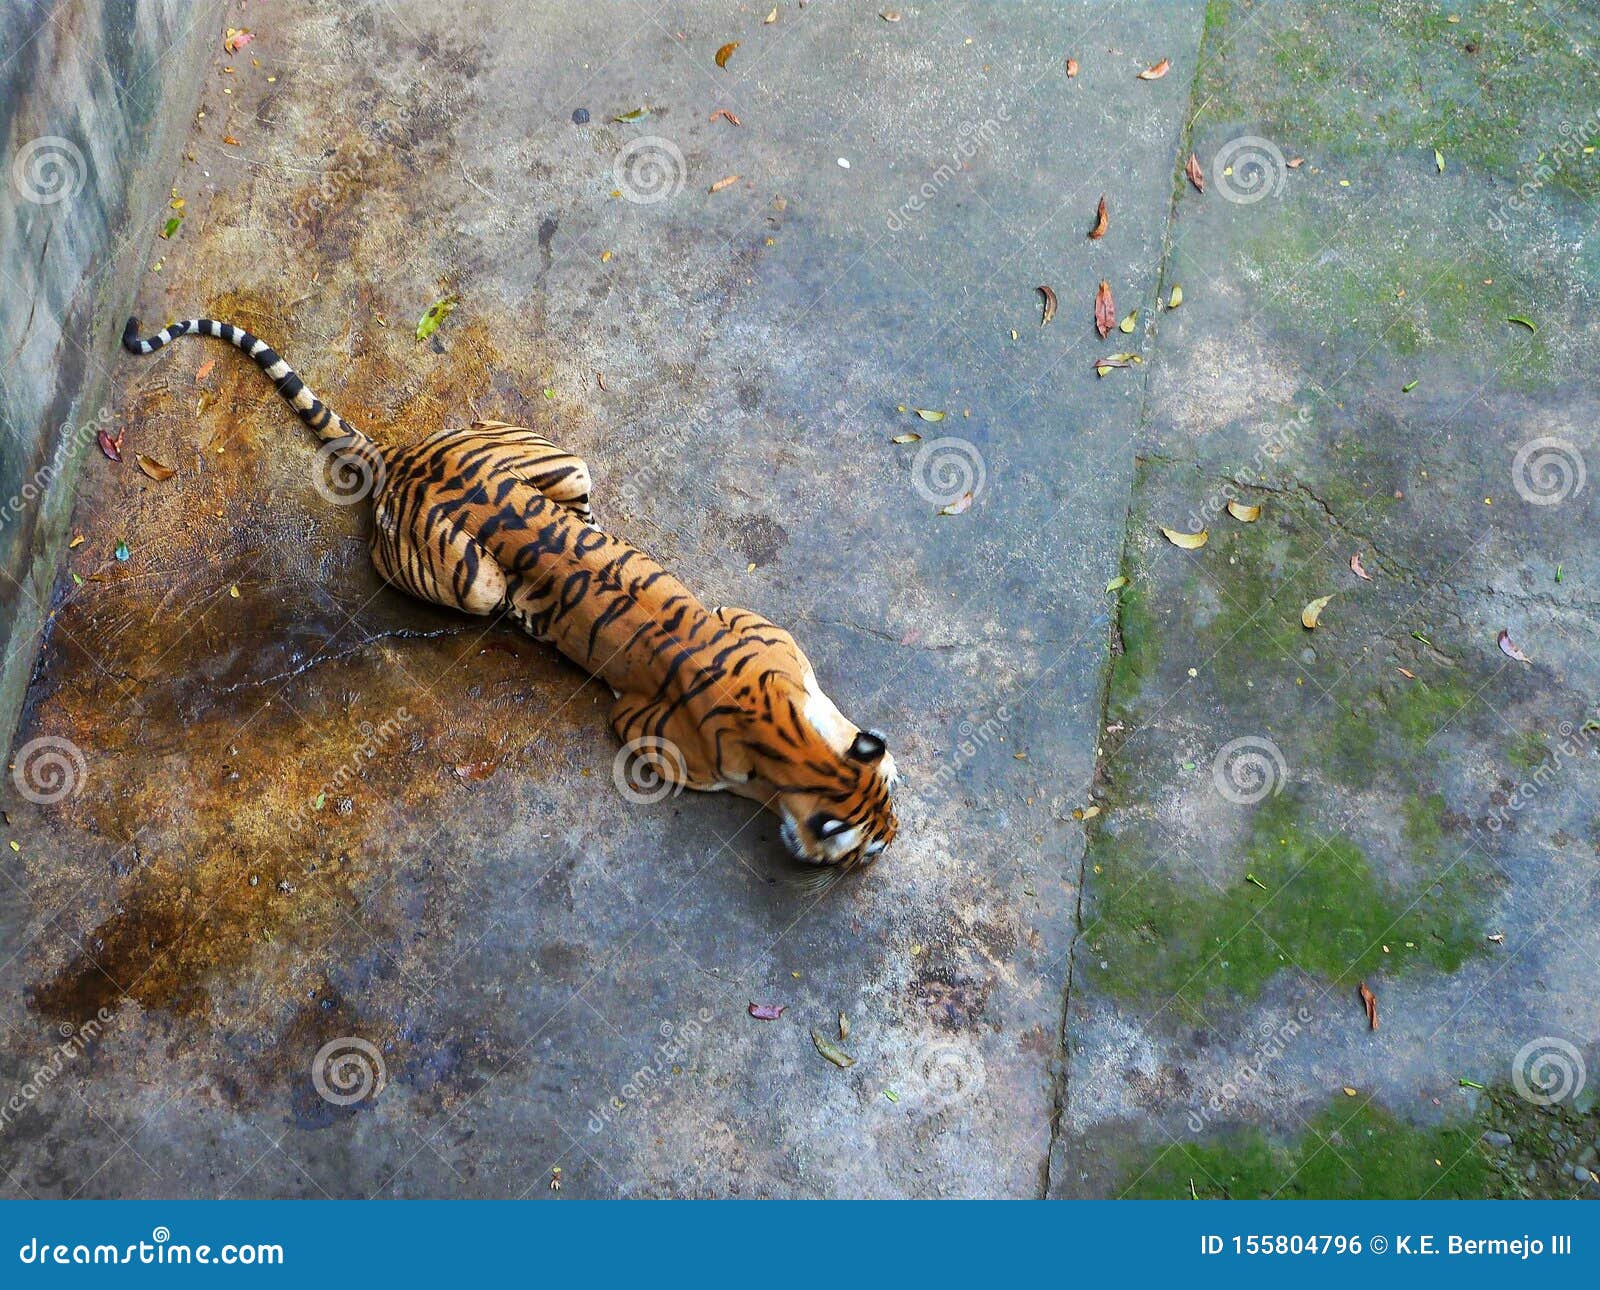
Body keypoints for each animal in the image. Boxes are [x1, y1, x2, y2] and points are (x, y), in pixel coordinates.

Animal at [121, 314, 899, 872]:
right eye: (870, 842)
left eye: (890, 799)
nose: (893, 840)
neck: (808, 750)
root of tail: (402, 456)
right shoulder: (650, 733)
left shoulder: (759, 626)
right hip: (473, 576)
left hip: (565, 464)